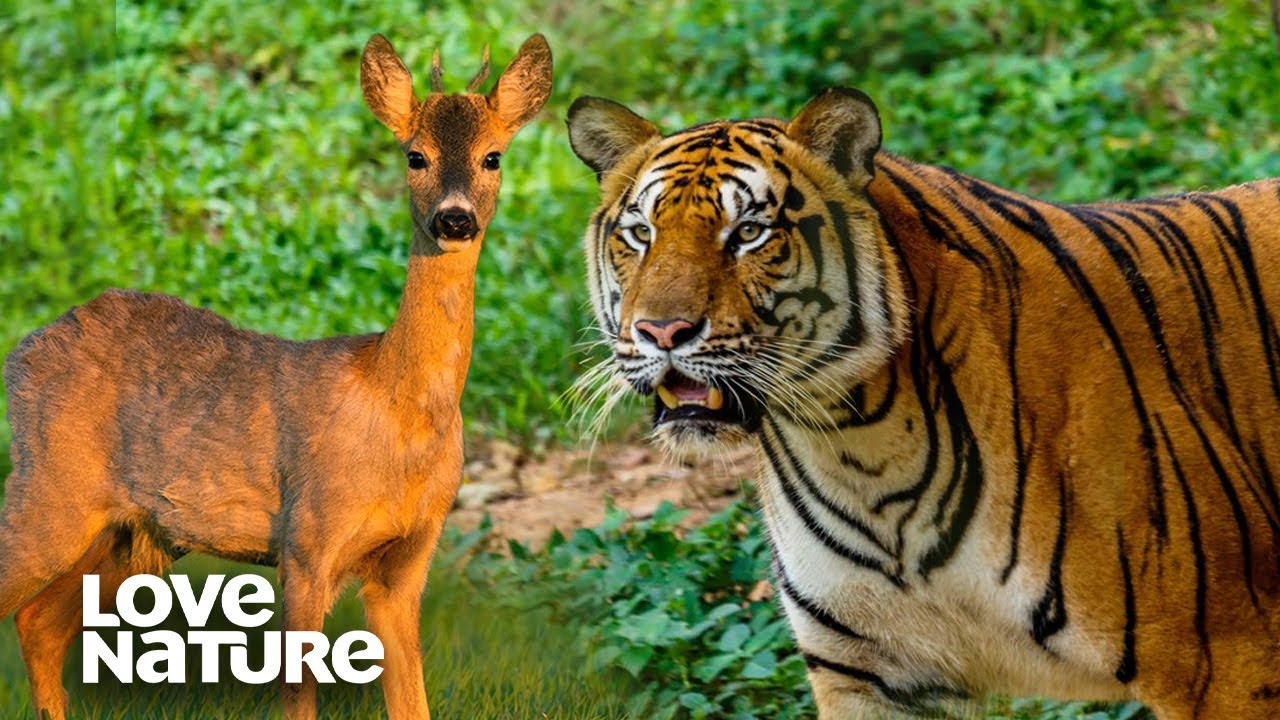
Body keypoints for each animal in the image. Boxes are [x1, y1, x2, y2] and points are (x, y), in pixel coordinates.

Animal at [0, 31, 552, 720]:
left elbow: (413, 699)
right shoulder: (307, 539)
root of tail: (22, 352)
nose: (454, 220)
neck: (400, 412)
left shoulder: (409, 556)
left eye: (493, 156)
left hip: (134, 533)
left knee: (38, 625)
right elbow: (299, 693)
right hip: (49, 490)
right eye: (415, 155)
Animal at [565, 87, 1280, 719]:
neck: (855, 445)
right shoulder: (868, 675)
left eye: (747, 233)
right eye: (640, 233)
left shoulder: (1225, 656)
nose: (661, 332)